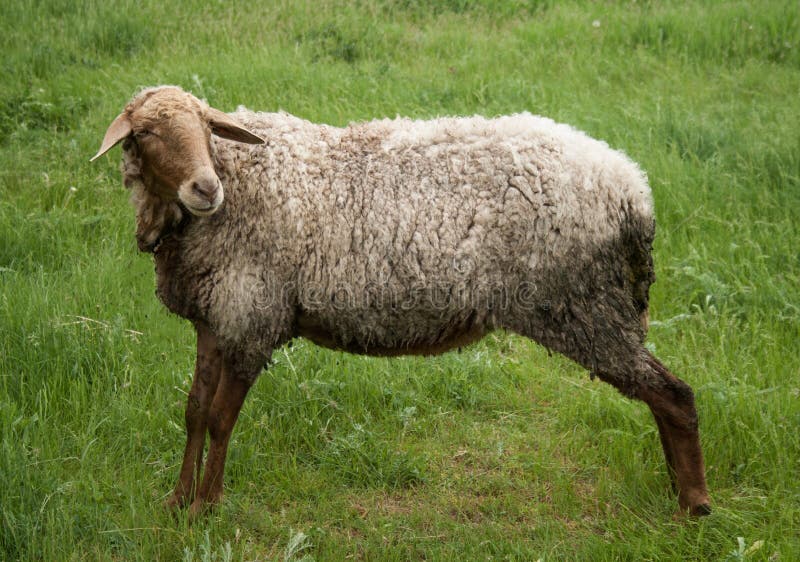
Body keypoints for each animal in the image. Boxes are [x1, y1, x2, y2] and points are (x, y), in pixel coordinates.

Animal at [92, 85, 711, 517]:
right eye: (146, 134)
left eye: (204, 127)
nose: (205, 189)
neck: (236, 182)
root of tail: (634, 190)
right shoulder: (215, 318)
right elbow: (195, 412)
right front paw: (176, 503)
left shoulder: (252, 316)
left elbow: (222, 419)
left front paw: (206, 506)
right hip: (596, 308)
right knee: (661, 396)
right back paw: (680, 491)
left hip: (583, 308)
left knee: (674, 394)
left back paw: (694, 504)